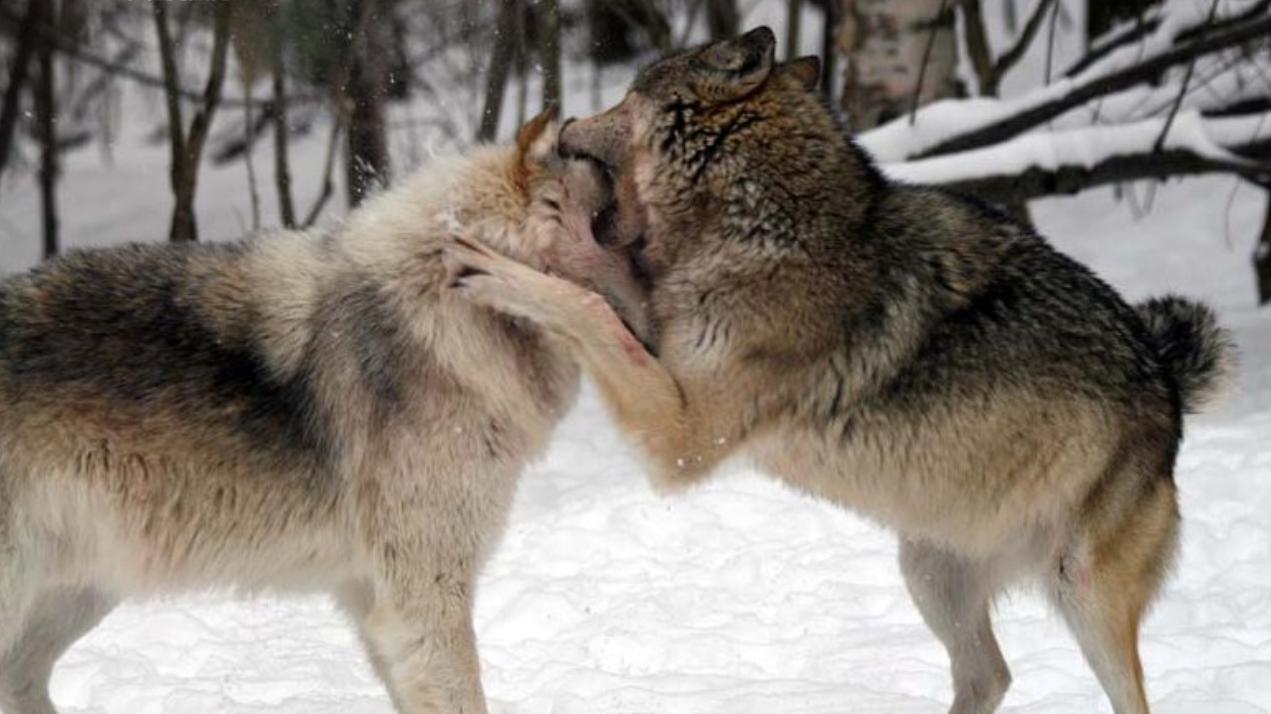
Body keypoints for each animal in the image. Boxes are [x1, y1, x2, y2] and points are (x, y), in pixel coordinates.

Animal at [441, 27, 1236, 714]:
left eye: (628, 94)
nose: (570, 117)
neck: (758, 223)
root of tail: (1167, 383)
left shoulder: (684, 440)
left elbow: (587, 309)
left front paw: (491, 265)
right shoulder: (667, 345)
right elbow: (601, 288)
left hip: (1082, 594)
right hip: (928, 570)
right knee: (991, 675)